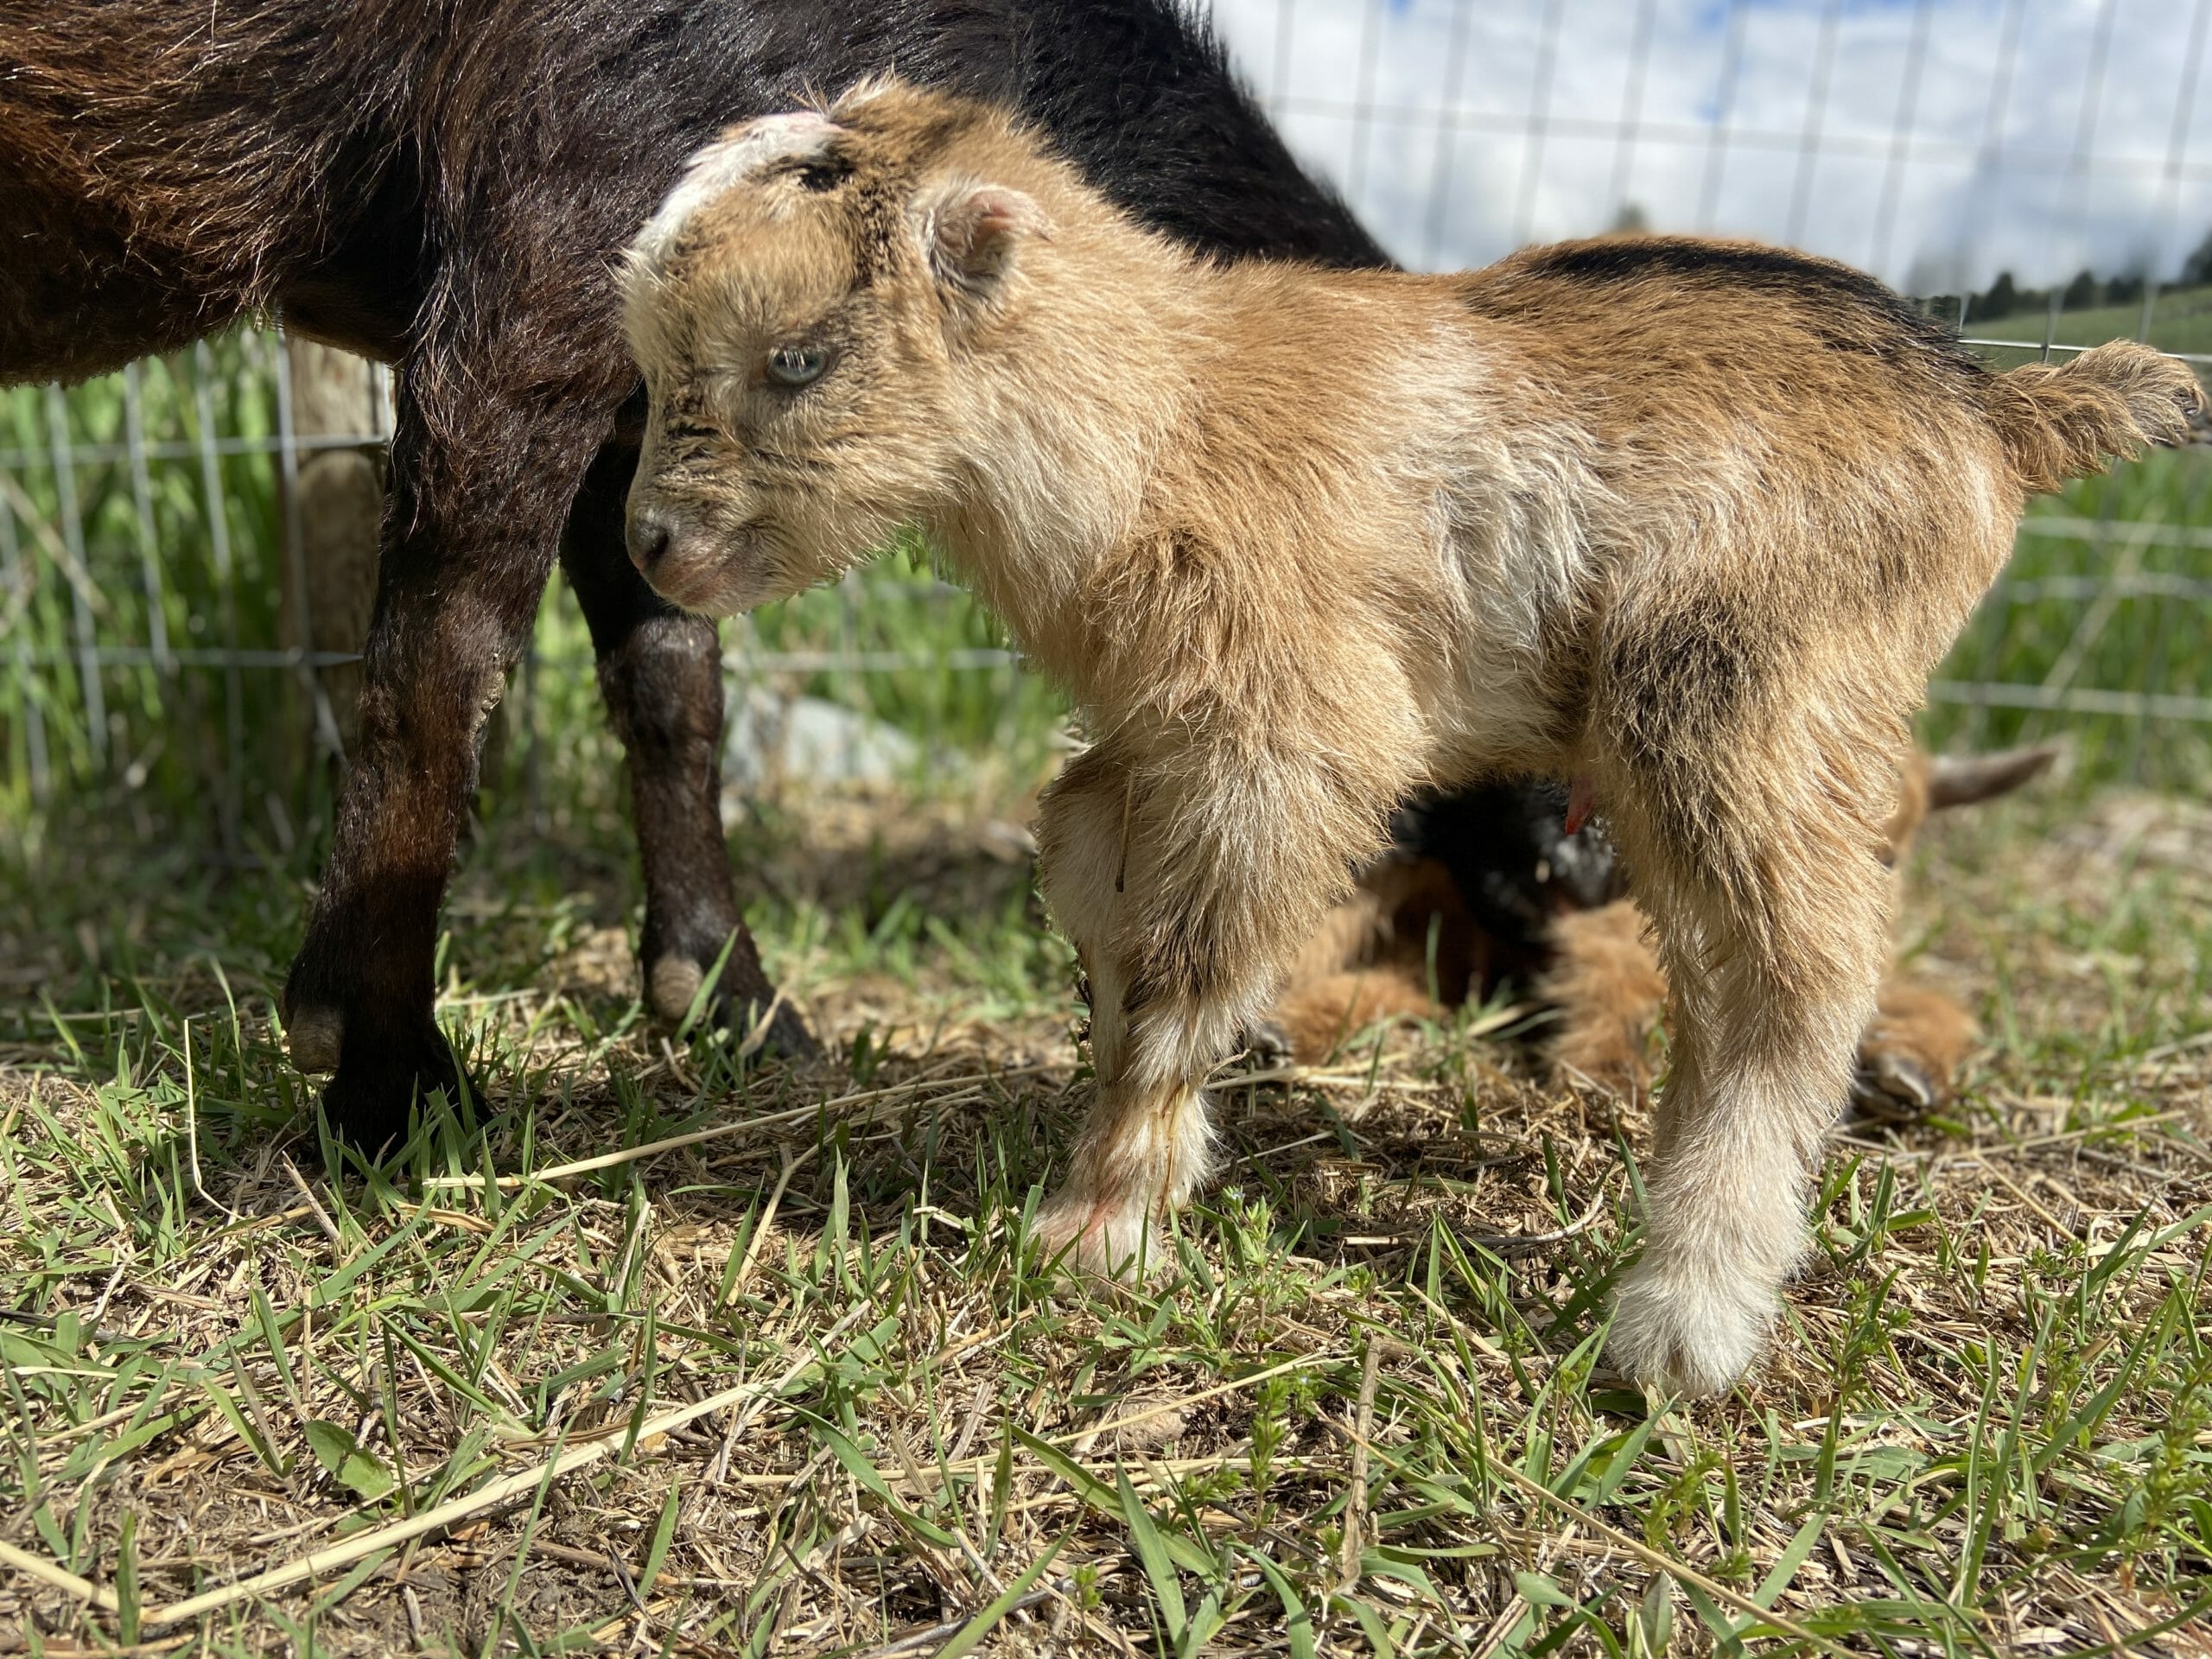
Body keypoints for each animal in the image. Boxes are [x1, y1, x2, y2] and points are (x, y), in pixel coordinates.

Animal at [1, 0, 1436, 1145]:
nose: (1269, 1052)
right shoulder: (554, 242)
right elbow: (445, 660)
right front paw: (386, 1079)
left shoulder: (647, 390)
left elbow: (672, 673)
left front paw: (732, 1005)